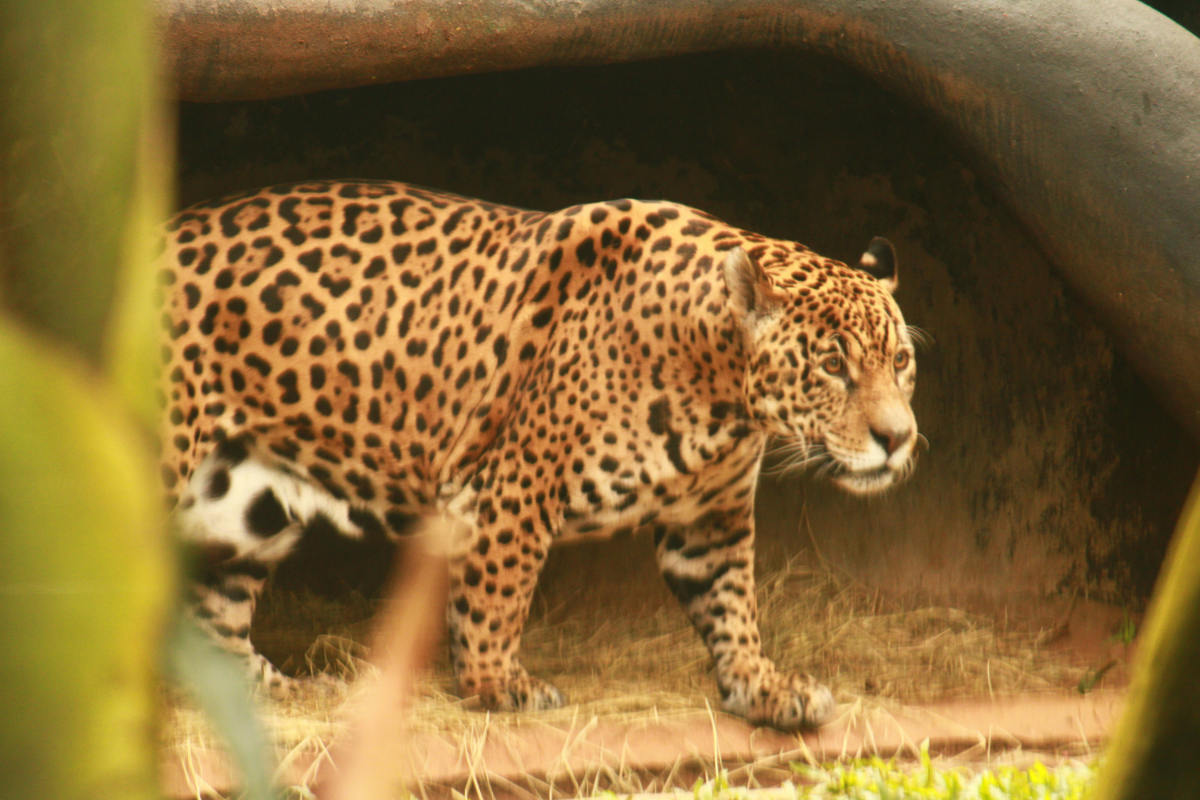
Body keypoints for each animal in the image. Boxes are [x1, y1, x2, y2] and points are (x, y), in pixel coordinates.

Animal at [158, 179, 918, 731]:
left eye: (902, 361)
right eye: (831, 366)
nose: (898, 438)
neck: (722, 392)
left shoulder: (712, 518)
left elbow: (732, 605)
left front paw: (761, 689)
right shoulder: (511, 487)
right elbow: (499, 597)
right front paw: (498, 687)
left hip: (246, 509)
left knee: (213, 617)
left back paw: (276, 695)